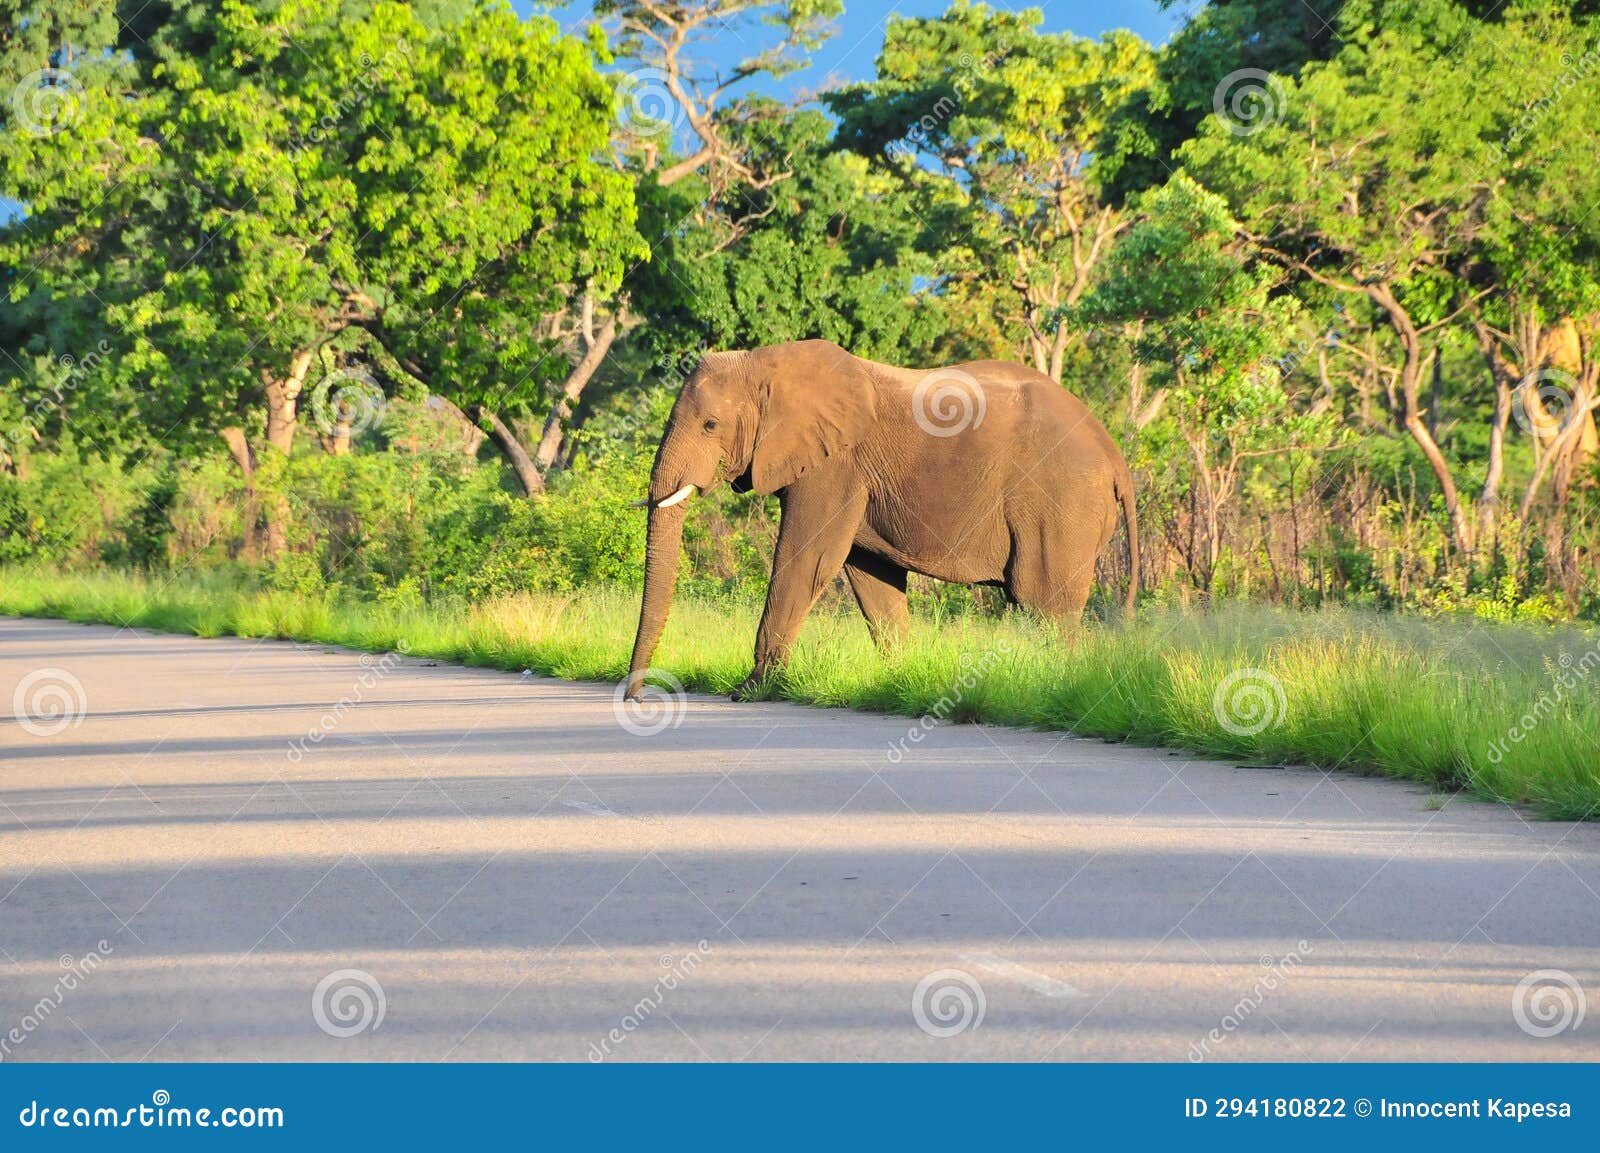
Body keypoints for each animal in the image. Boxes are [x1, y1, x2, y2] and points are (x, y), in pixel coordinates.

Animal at [624, 339, 1139, 700]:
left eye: (710, 425)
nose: (637, 698)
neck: (766, 363)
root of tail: (1115, 455)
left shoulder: (835, 465)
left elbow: (806, 559)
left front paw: (749, 692)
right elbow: (871, 577)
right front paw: (896, 680)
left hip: (1061, 504)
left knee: (1044, 605)